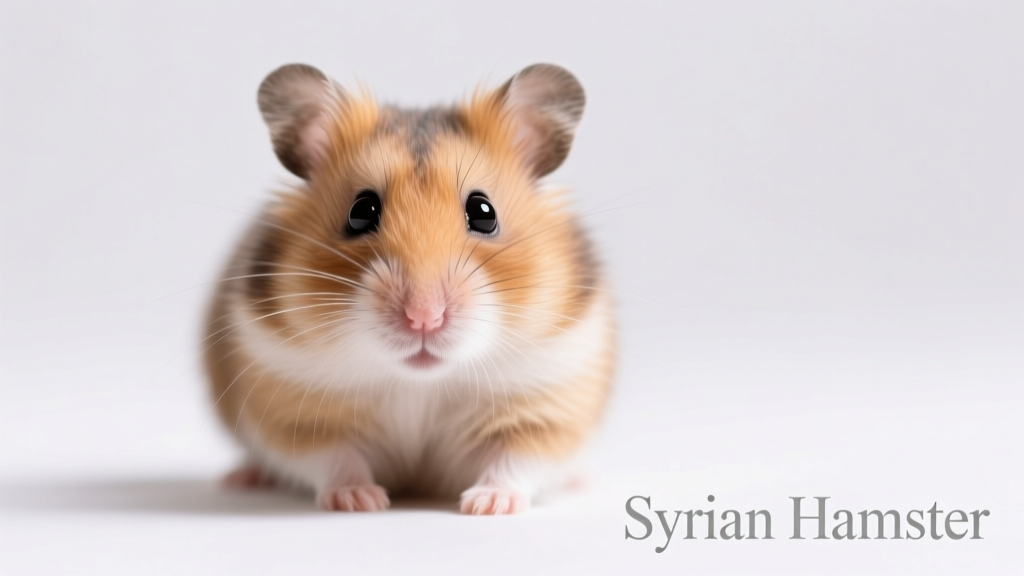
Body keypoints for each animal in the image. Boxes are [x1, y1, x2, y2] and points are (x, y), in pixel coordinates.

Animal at [203, 63, 615, 514]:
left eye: (484, 212)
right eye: (361, 211)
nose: (424, 317)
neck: (419, 384)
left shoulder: (547, 401)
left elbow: (516, 458)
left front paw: (486, 505)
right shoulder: (294, 410)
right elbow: (334, 456)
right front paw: (359, 501)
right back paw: (242, 478)